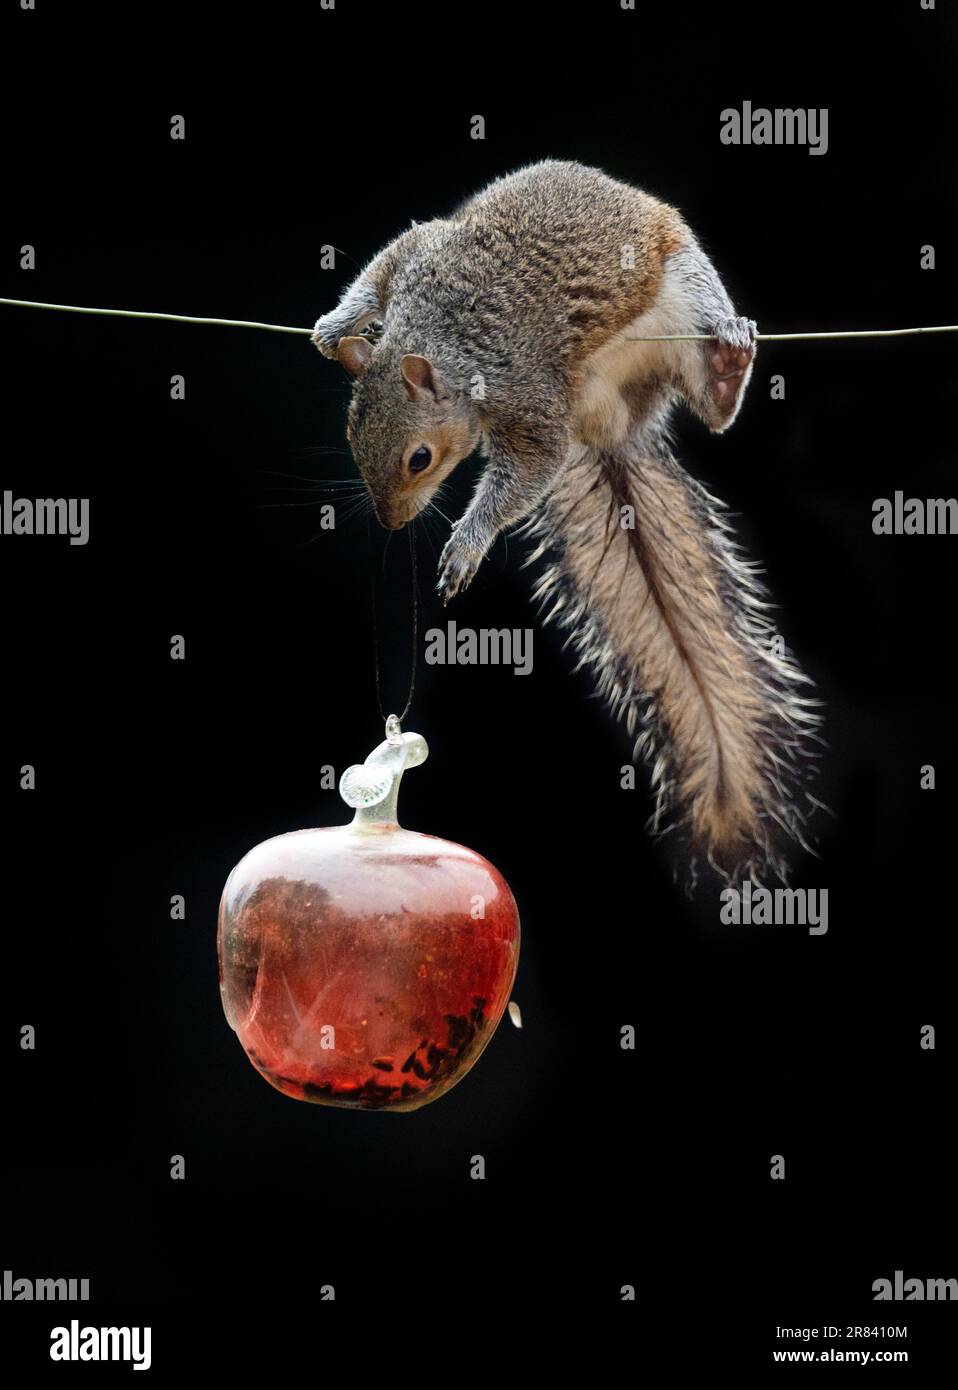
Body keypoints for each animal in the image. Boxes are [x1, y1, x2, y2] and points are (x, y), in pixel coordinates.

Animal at [312, 159, 819, 880]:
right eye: (352, 440)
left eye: (419, 459)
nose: (390, 522)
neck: (445, 329)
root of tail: (613, 430)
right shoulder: (414, 256)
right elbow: (376, 271)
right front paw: (335, 325)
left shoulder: (530, 398)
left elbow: (528, 471)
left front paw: (466, 546)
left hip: (686, 298)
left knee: (711, 404)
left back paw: (726, 367)